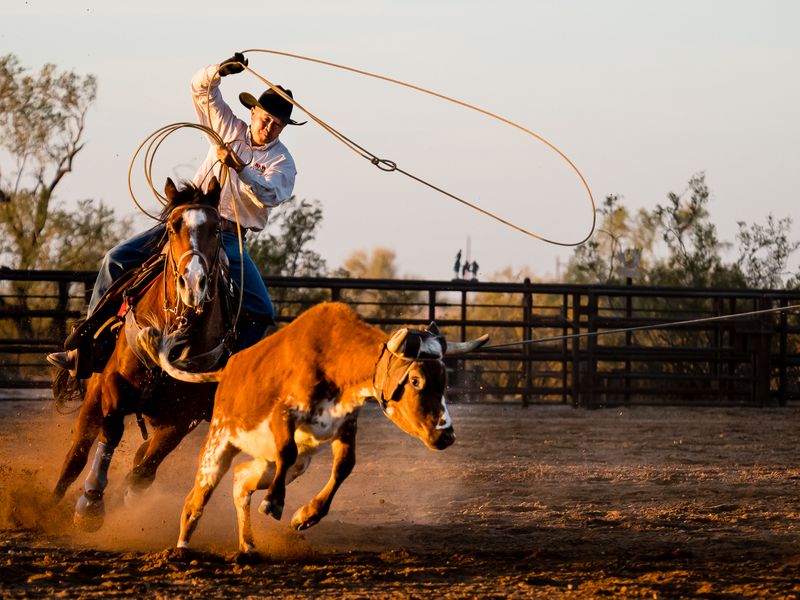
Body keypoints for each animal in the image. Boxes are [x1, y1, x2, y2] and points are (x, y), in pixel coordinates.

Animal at [157, 301, 488, 558]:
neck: (332, 358)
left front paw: (306, 516)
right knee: (197, 499)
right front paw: (274, 502)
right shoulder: (283, 414)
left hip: (278, 463)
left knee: (240, 481)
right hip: (219, 443)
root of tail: (227, 370)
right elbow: (287, 450)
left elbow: (344, 466)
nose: (446, 435)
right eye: (416, 380)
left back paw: (248, 548)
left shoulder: (346, 425)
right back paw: (180, 551)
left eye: (444, 380)